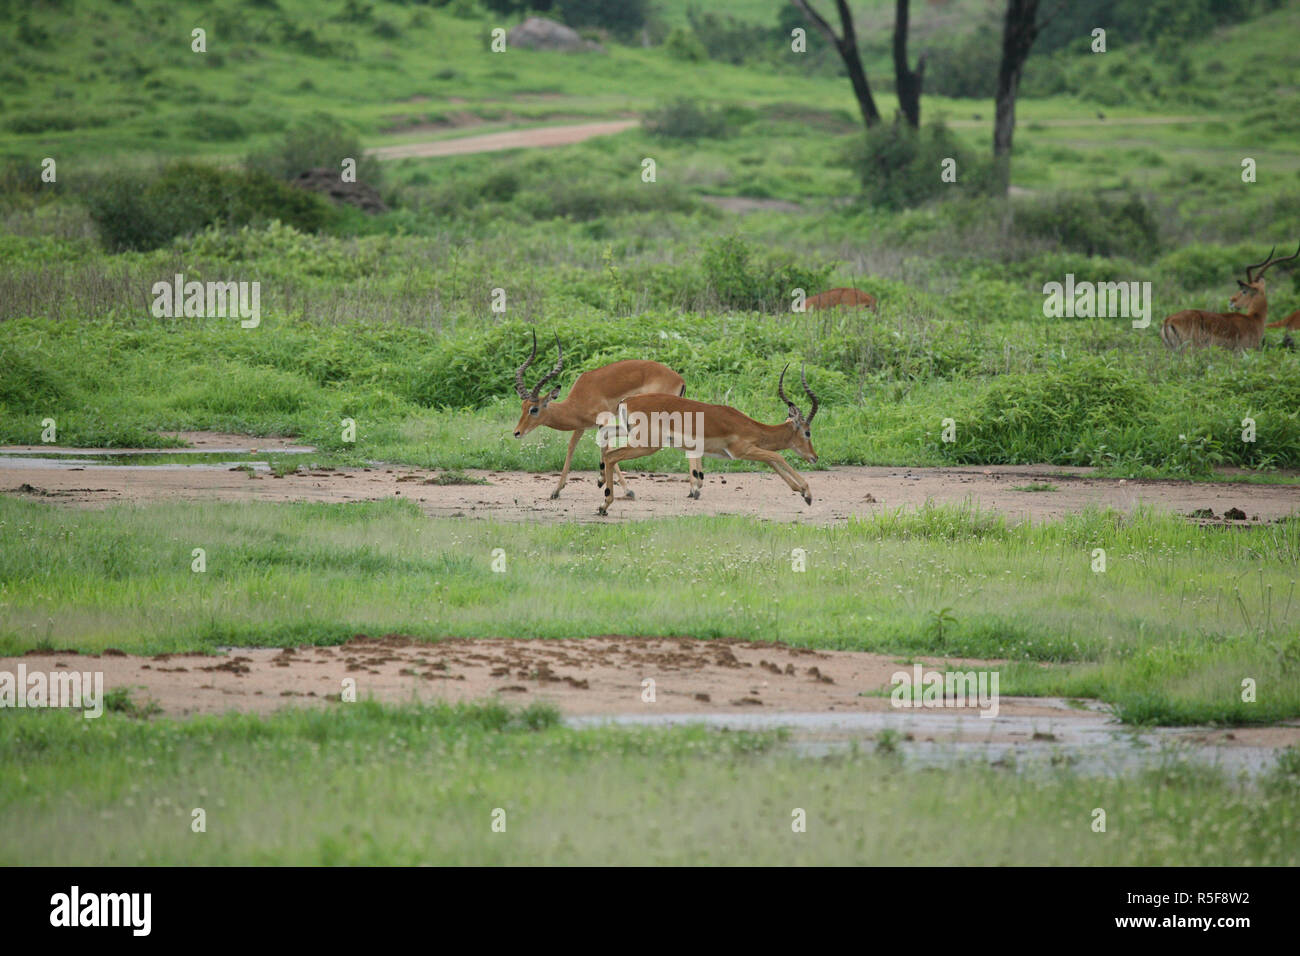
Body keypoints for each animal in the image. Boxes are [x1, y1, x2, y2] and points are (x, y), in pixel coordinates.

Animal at [512, 331, 686, 500]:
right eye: (522, 406)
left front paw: (622, 489)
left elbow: (607, 447)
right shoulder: (581, 426)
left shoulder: (604, 420)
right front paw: (556, 491)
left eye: (534, 409)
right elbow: (571, 447)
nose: (516, 432)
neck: (578, 400)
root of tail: (680, 379)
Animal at [595, 364, 820, 516]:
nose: (815, 457)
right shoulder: (741, 451)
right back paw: (605, 505)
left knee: (604, 438)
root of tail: (627, 401)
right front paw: (807, 493)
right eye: (808, 432)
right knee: (612, 455)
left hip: (630, 434)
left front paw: (801, 492)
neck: (751, 427)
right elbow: (777, 457)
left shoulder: (751, 451)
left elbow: (772, 460)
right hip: (646, 444)